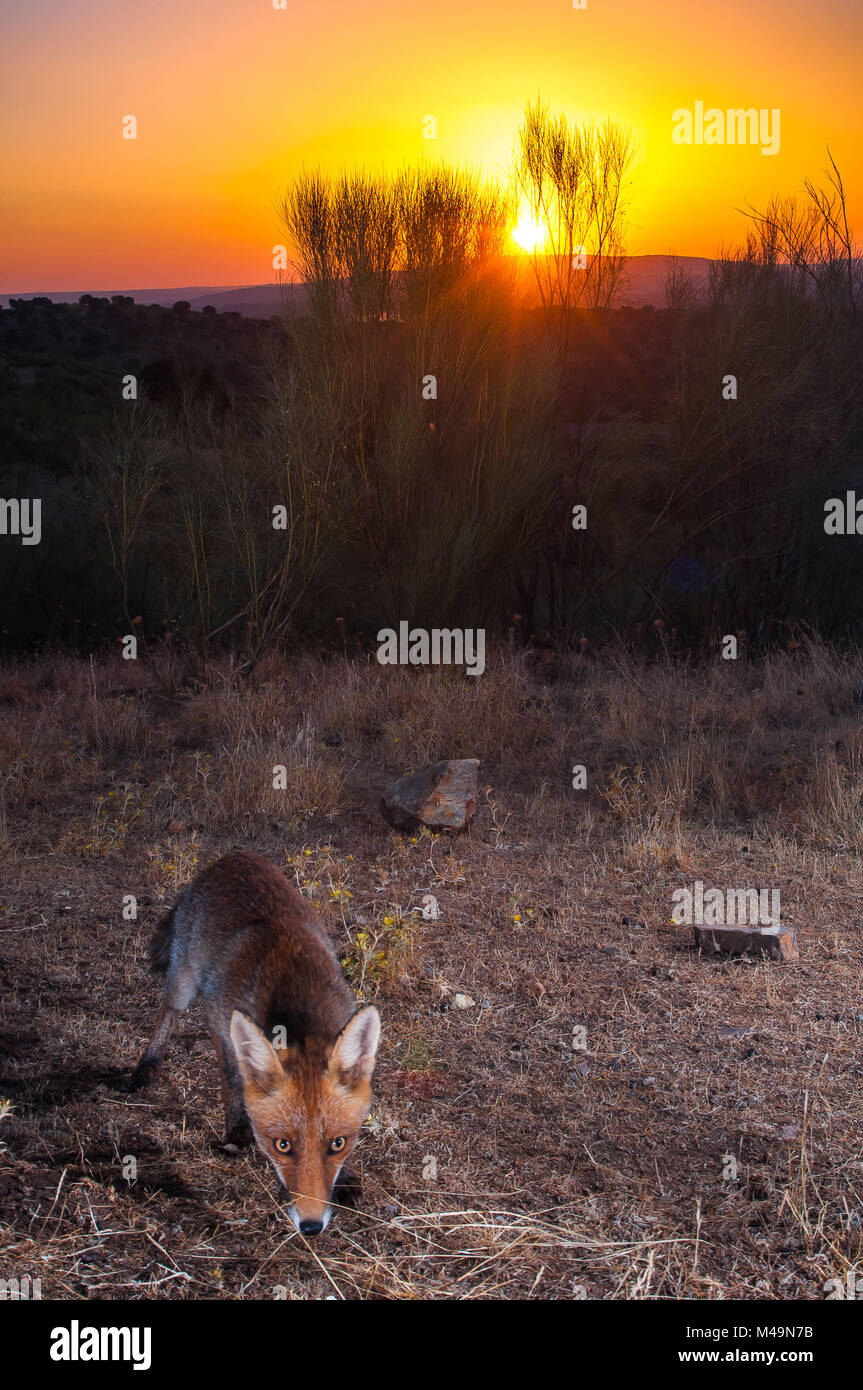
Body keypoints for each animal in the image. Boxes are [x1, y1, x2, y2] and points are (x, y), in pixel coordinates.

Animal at [128, 851, 380, 1235]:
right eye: (282, 1145)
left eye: (338, 1144)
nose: (311, 1225)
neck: (296, 1001)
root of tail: (232, 856)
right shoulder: (223, 1023)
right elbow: (233, 1081)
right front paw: (236, 1129)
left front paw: (346, 1176)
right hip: (185, 984)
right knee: (167, 1010)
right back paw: (148, 1064)